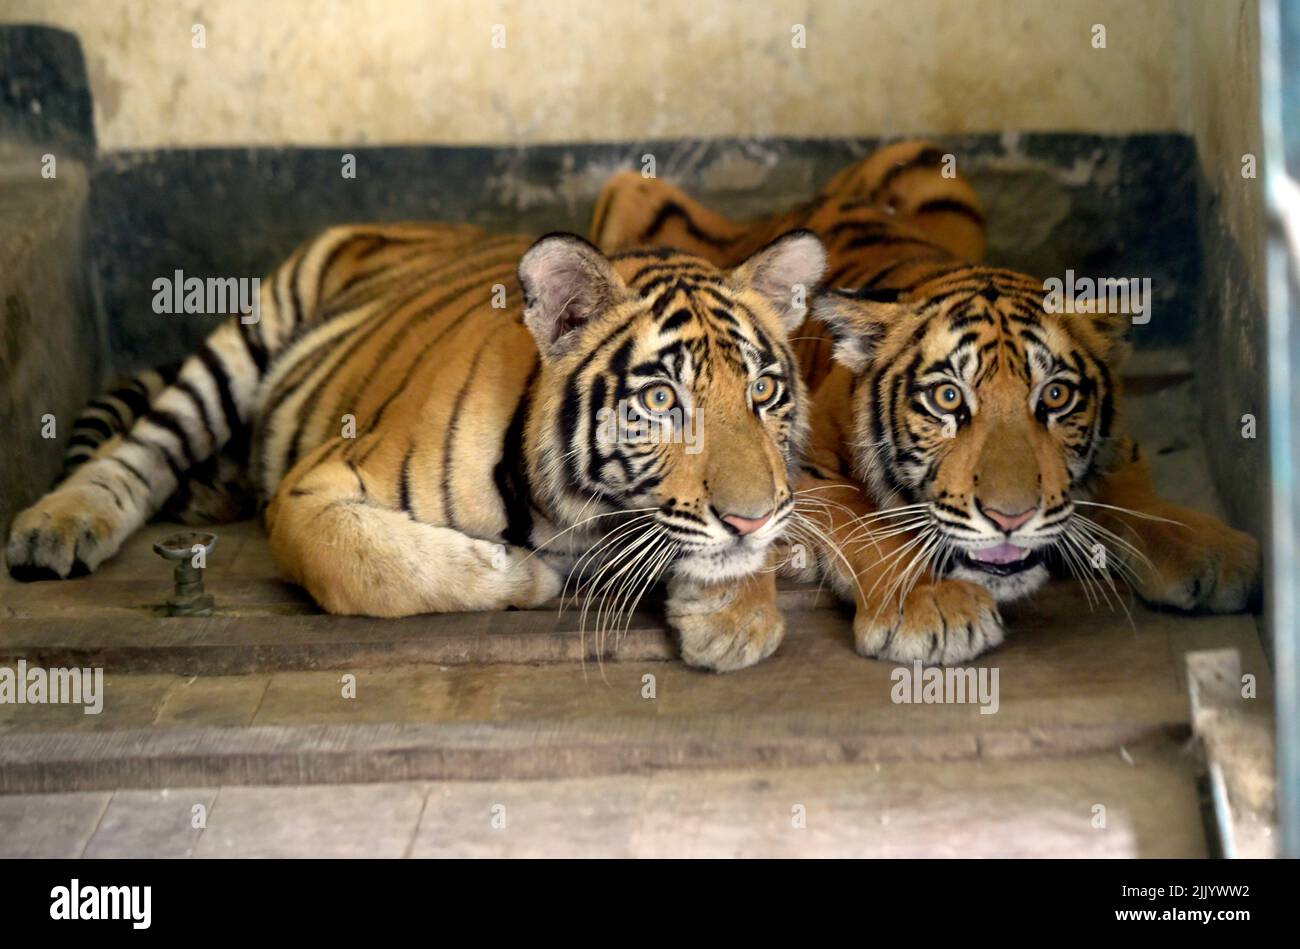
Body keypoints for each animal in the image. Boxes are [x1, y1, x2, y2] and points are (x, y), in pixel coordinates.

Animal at [5, 221, 831, 673]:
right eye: (662, 400)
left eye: (764, 391)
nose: (750, 518)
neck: (586, 520)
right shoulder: (312, 489)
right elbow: (372, 567)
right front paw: (528, 576)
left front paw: (736, 616)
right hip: (247, 336)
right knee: (141, 448)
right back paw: (59, 525)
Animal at [590, 140, 1261, 665]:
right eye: (946, 398)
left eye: (1057, 396)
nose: (1011, 517)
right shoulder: (807, 471)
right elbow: (872, 528)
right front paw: (930, 606)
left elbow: (1133, 492)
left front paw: (1211, 553)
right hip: (631, 189)